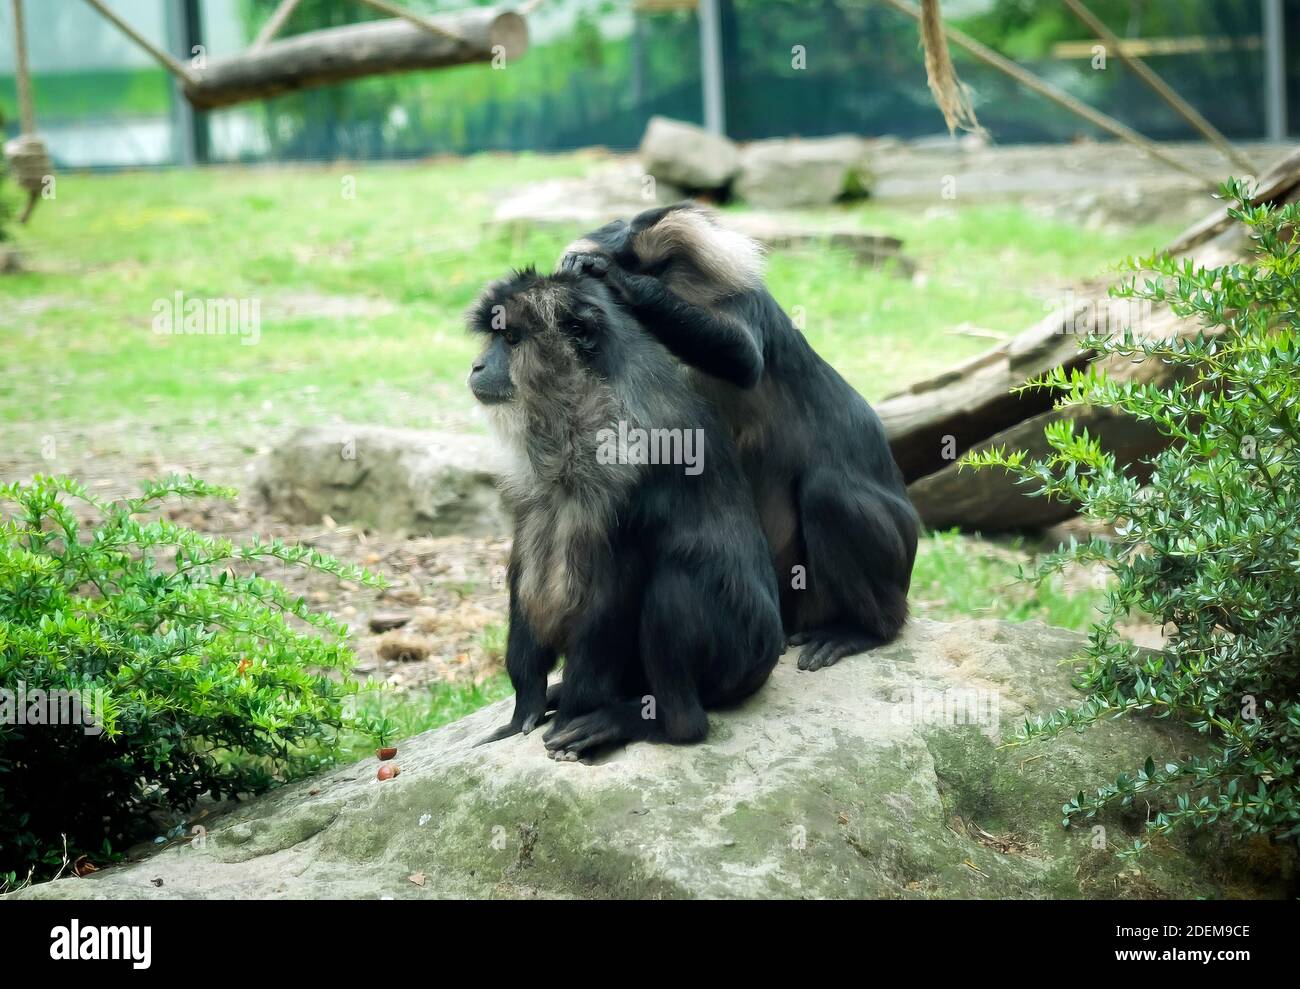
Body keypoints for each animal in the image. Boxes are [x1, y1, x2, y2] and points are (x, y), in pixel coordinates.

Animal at [467, 267, 784, 758]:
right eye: (497, 336)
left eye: (513, 339)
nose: (478, 367)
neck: (584, 408)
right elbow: (527, 567)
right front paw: (528, 703)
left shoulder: (640, 466)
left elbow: (613, 591)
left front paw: (577, 711)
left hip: (741, 656)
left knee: (674, 586)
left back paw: (652, 722)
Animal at [559, 204, 919, 672]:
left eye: (656, 268)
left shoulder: (745, 304)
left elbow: (744, 357)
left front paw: (620, 283)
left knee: (829, 494)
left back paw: (862, 630)